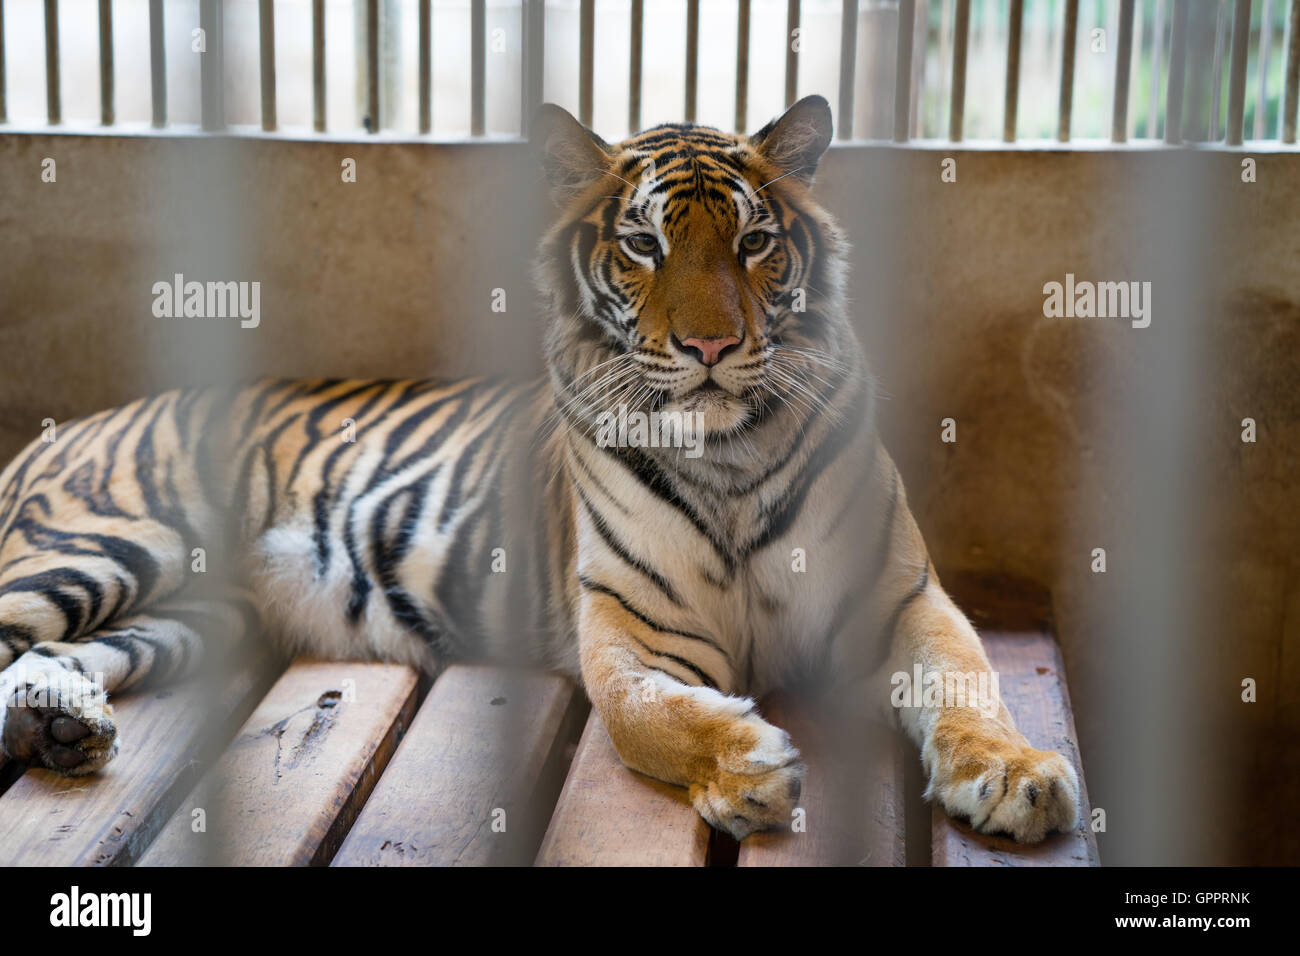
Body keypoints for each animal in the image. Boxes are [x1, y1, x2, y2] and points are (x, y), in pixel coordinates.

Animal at [0, 95, 1079, 845]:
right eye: (643, 242)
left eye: (754, 240)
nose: (711, 346)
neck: (728, 452)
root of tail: (70, 424)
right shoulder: (636, 632)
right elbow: (650, 716)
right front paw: (748, 766)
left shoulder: (903, 598)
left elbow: (968, 687)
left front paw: (1019, 777)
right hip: (100, 542)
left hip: (200, 610)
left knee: (52, 657)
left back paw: (59, 729)